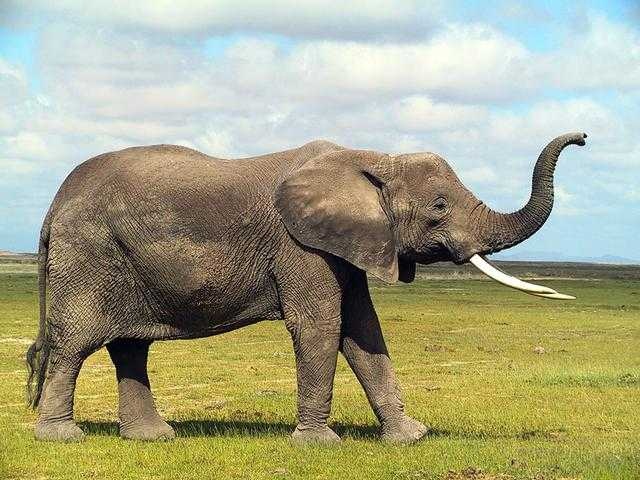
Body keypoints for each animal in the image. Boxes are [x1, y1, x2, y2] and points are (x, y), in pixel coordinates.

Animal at [26, 132, 587, 443]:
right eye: (440, 207)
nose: (582, 138)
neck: (371, 158)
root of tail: (53, 205)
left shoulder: (350, 241)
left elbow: (363, 330)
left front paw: (410, 438)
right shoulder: (300, 243)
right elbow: (322, 326)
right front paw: (320, 444)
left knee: (129, 347)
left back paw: (153, 438)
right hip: (87, 256)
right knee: (74, 344)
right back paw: (62, 437)